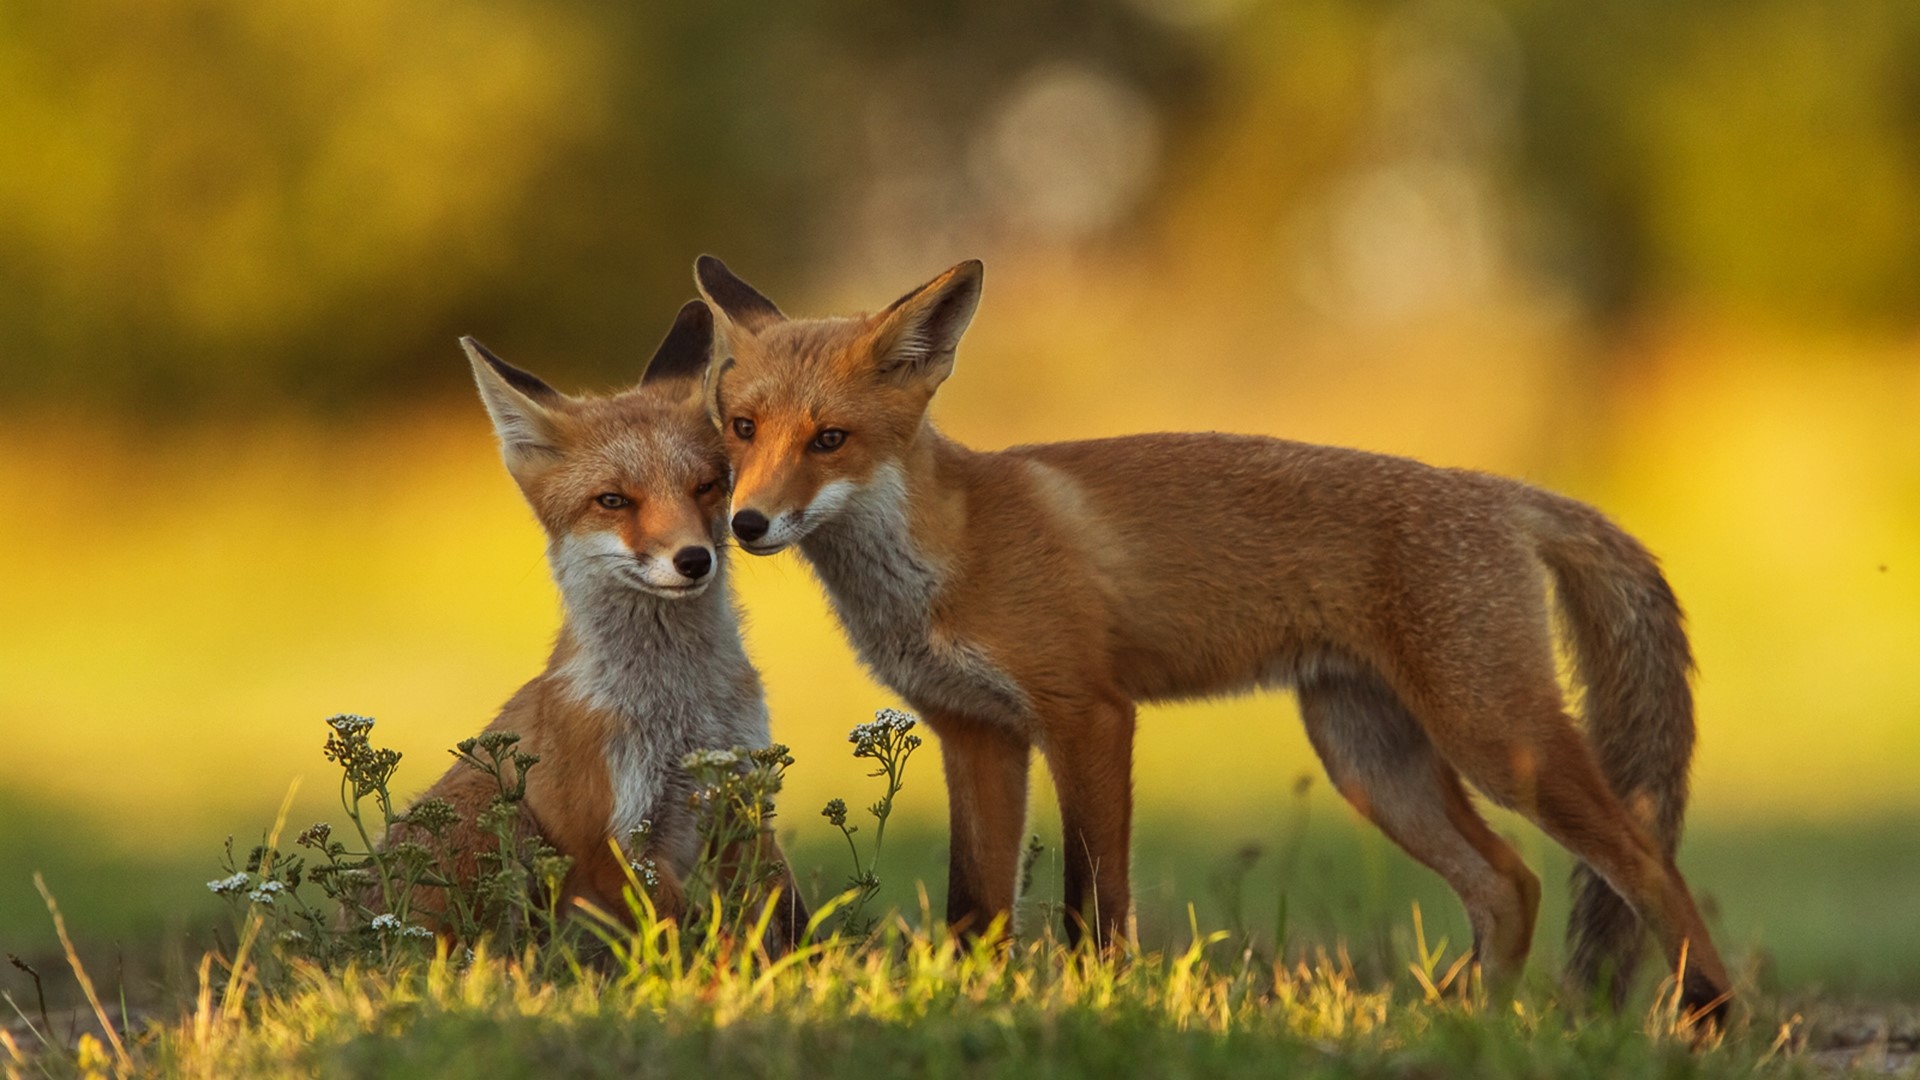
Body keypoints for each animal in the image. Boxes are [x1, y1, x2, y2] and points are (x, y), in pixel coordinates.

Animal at [385, 299, 807, 945]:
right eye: (613, 500)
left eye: (706, 486)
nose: (693, 560)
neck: (679, 704)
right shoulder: (611, 838)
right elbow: (687, 932)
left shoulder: (741, 797)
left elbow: (784, 911)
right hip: (493, 806)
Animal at [688, 255, 1733, 1020]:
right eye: (740, 427)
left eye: (829, 439)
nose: (745, 524)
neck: (947, 554)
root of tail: (1502, 491)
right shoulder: (975, 734)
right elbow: (973, 910)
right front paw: (974, 1005)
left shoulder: (1088, 715)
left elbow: (1092, 906)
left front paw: (1097, 1007)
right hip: (1370, 760)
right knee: (1511, 885)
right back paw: (1475, 1025)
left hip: (1497, 738)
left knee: (1647, 862)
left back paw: (1707, 1022)